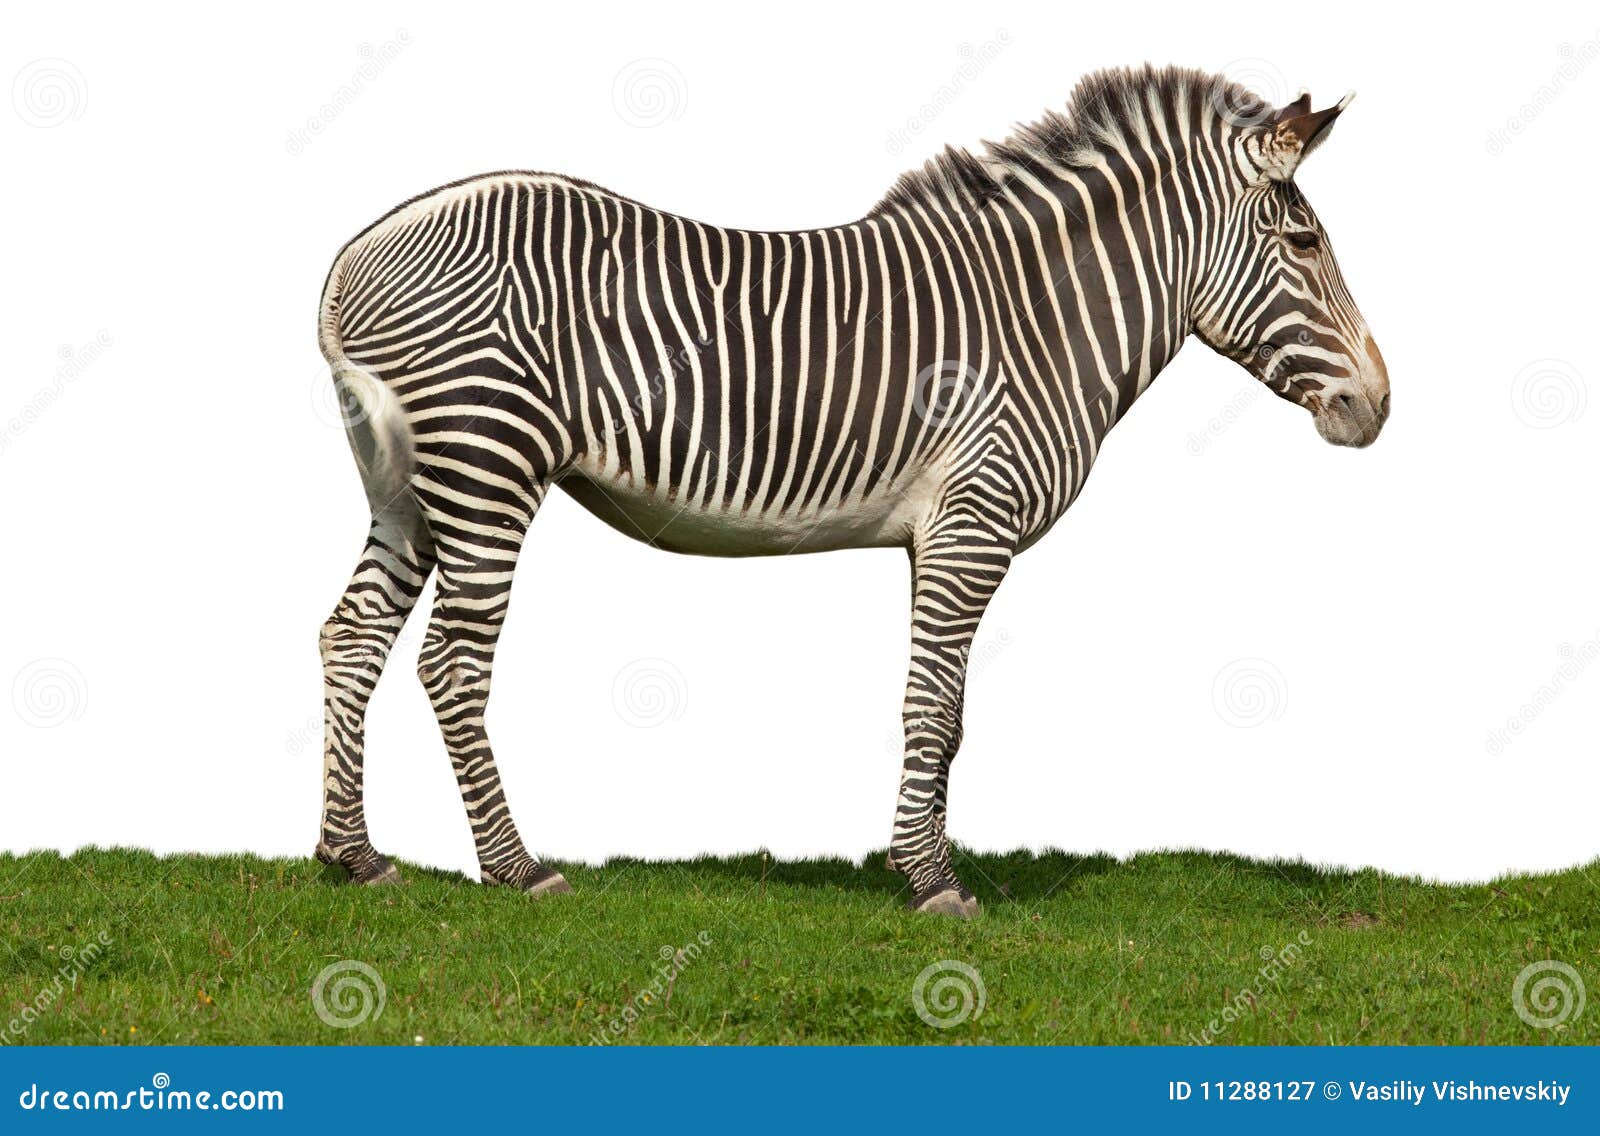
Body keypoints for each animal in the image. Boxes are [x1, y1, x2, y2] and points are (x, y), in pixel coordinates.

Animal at [314, 65, 1389, 917]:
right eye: (1303, 243)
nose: (1377, 405)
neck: (1038, 319)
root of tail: (362, 251)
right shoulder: (973, 524)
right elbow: (932, 708)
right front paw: (933, 883)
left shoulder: (939, 537)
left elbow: (948, 716)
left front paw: (920, 863)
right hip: (488, 463)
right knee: (452, 663)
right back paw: (517, 869)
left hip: (410, 488)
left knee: (352, 637)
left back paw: (354, 857)